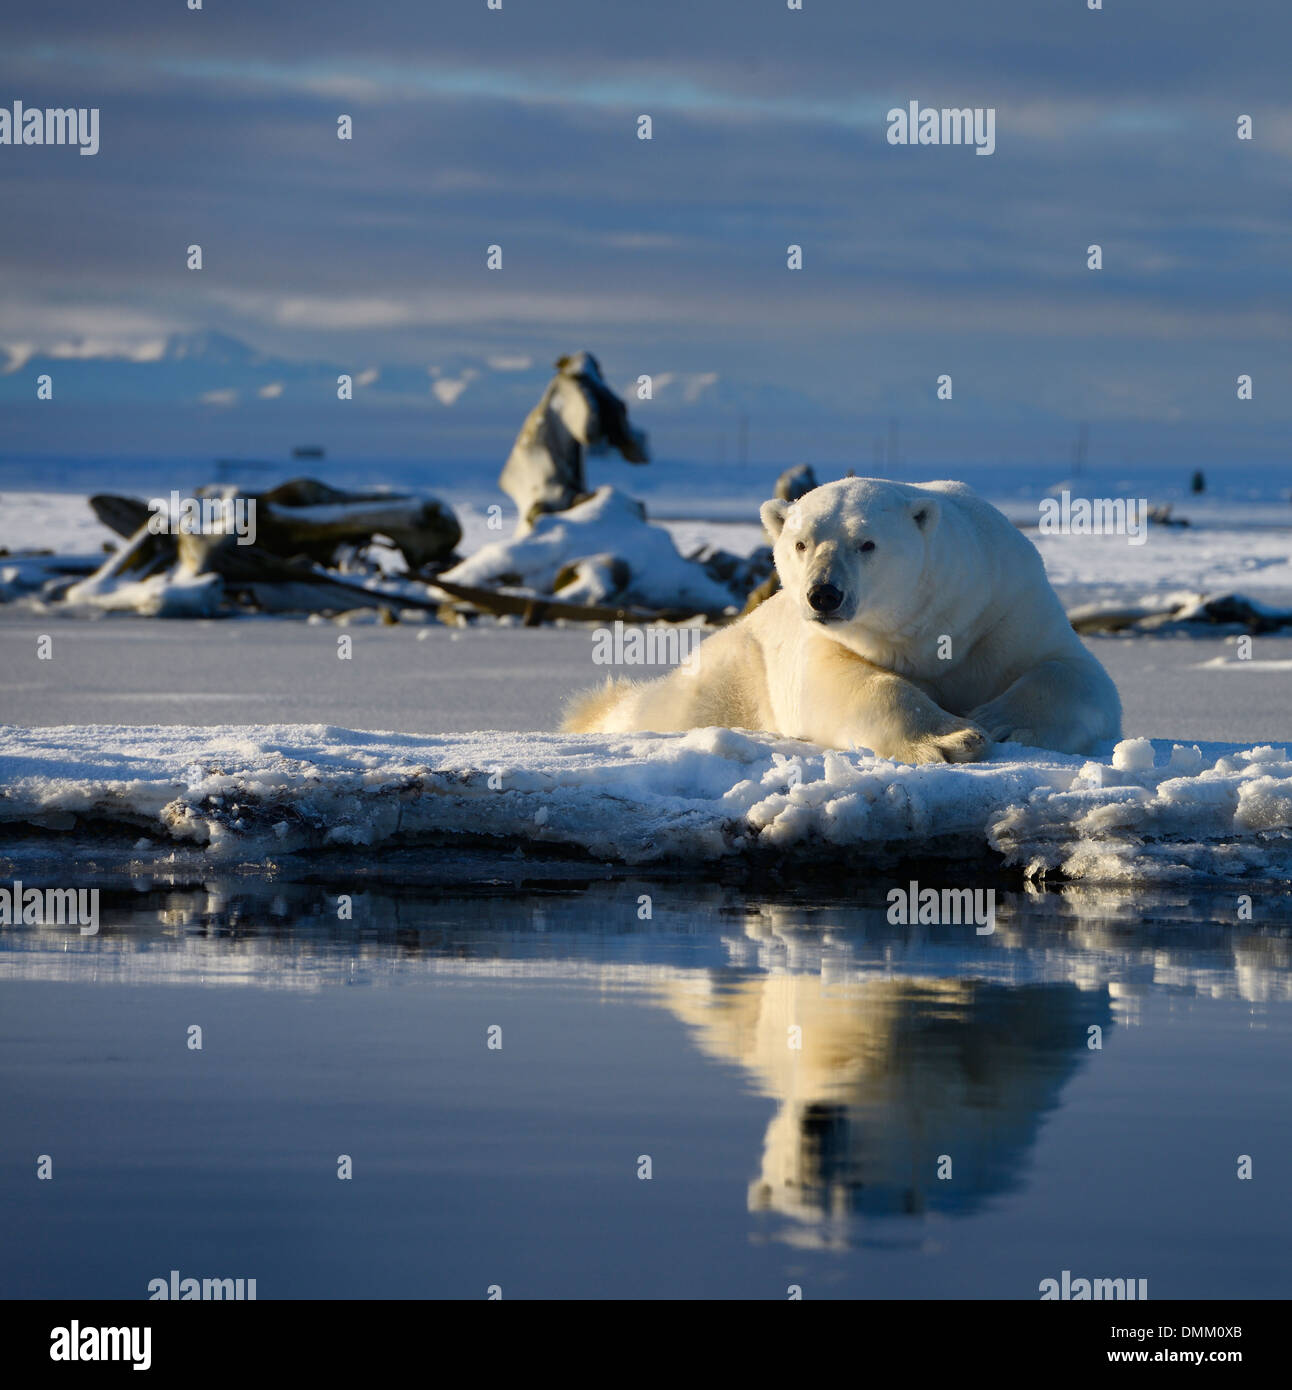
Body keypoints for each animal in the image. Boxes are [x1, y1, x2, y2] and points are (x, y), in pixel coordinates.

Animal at [563, 476, 1121, 763]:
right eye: (801, 542)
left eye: (866, 543)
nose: (823, 595)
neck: (924, 622)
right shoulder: (829, 644)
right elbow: (845, 684)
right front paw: (953, 738)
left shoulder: (1004, 604)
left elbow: (1075, 673)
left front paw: (996, 720)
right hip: (734, 676)